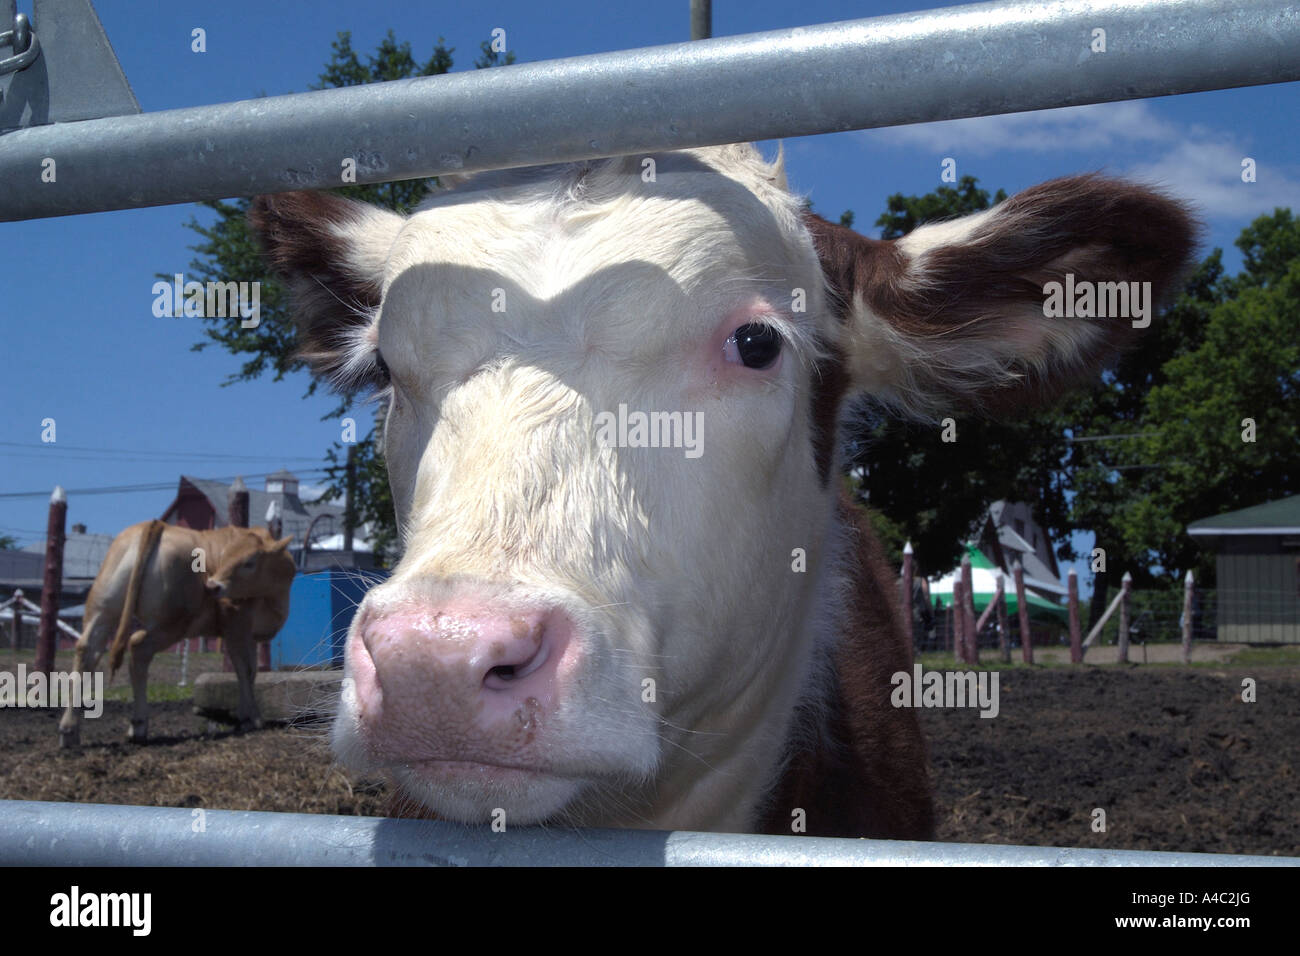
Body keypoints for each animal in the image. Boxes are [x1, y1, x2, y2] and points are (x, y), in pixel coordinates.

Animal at [58, 520, 296, 747]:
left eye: (249, 562)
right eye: (225, 556)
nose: (211, 586)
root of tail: (155, 524)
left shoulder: (250, 635)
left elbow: (252, 670)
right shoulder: (235, 624)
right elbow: (244, 670)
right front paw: (251, 718)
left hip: (103, 608)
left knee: (88, 650)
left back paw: (69, 730)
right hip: (172, 625)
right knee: (138, 648)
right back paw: (138, 725)